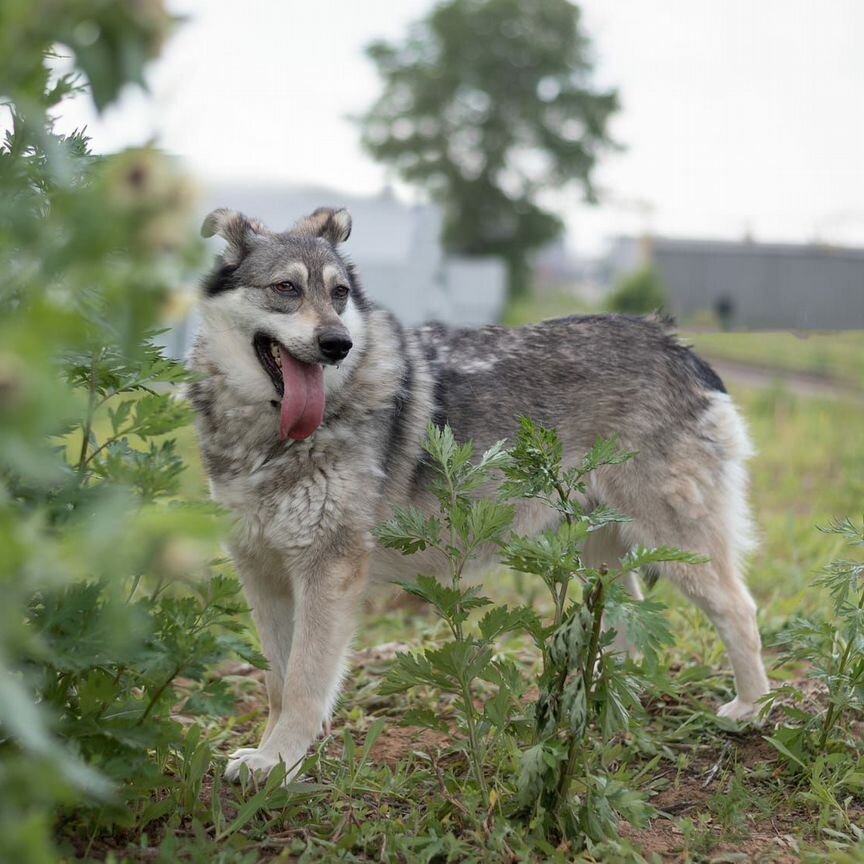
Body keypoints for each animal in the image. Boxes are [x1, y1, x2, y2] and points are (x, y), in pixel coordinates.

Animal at [187, 206, 768, 780]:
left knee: (741, 611)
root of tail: (676, 344)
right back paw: (603, 725)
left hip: (676, 548)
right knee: (624, 627)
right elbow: (278, 684)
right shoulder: (264, 576)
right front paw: (270, 755)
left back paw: (751, 711)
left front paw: (278, 764)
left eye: (339, 294)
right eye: (285, 287)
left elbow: (305, 686)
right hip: (603, 562)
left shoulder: (327, 572)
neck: (269, 441)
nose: (338, 344)